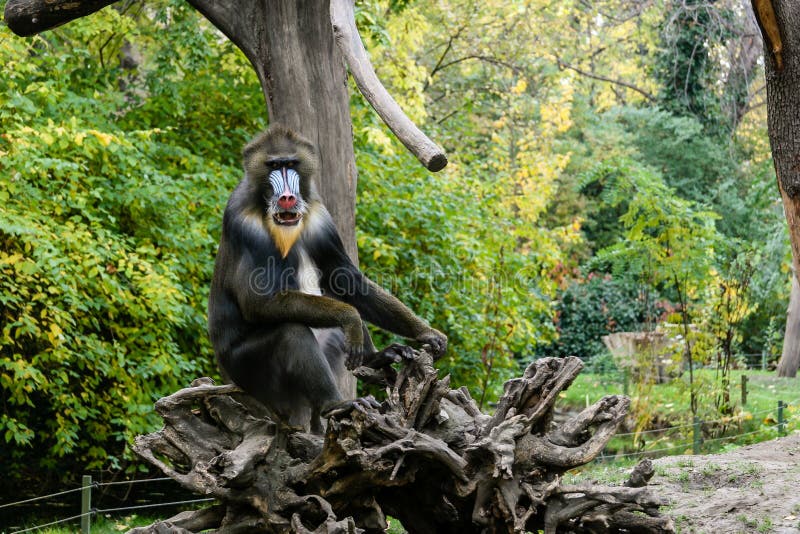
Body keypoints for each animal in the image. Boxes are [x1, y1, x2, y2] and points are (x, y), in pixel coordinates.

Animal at [207, 125, 447, 433]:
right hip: (253, 375)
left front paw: (426, 333)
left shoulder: (321, 218)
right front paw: (351, 318)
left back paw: (376, 357)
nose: (287, 197)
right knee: (292, 332)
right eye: (273, 166)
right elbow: (259, 302)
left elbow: (346, 279)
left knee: (334, 323)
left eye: (291, 164)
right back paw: (336, 403)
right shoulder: (245, 225)